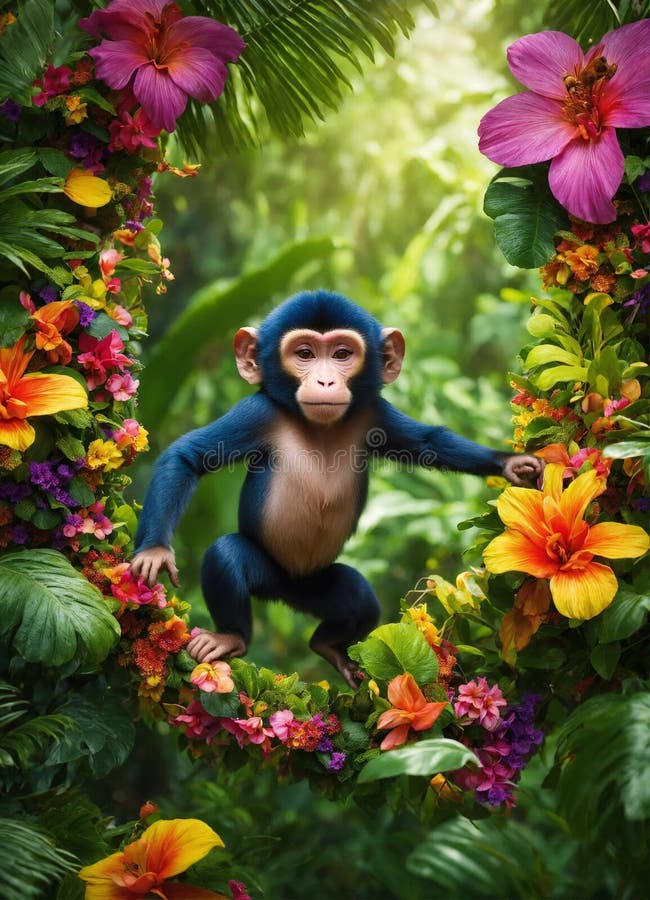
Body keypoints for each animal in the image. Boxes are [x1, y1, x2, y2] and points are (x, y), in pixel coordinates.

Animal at [131, 291, 542, 688]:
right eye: (304, 354)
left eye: (342, 354)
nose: (326, 381)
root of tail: (286, 592)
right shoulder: (256, 413)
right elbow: (189, 456)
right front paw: (154, 551)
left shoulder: (373, 412)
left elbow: (429, 442)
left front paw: (510, 464)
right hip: (268, 571)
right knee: (227, 554)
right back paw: (230, 637)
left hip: (319, 587)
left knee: (359, 597)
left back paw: (328, 645)